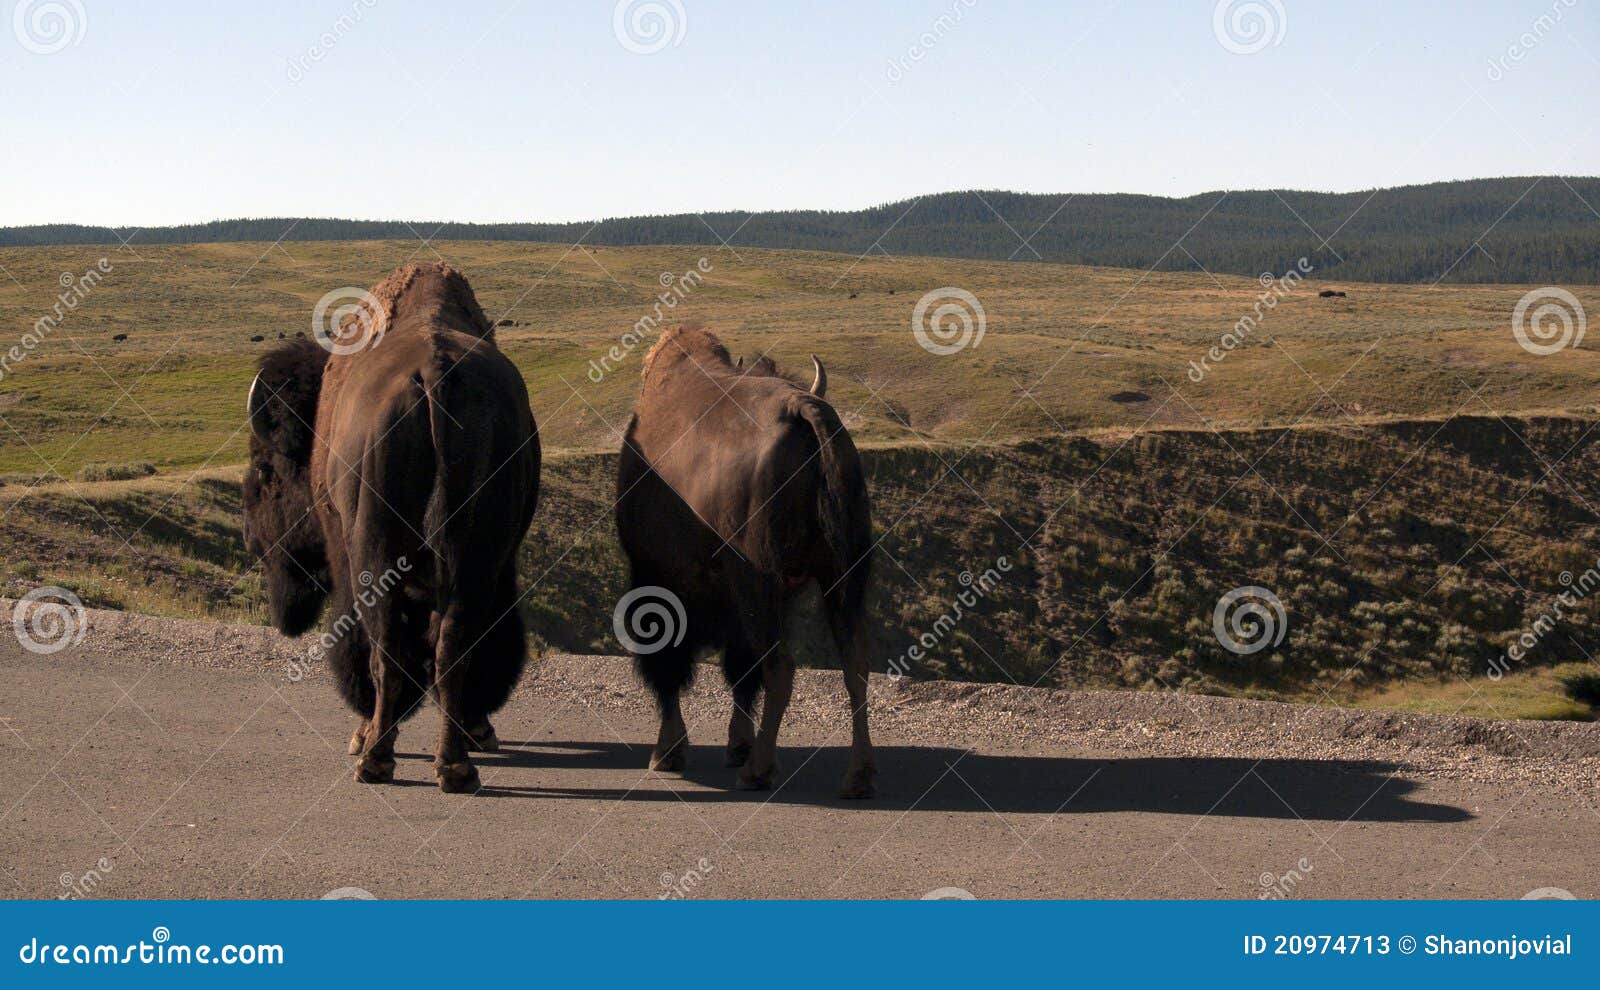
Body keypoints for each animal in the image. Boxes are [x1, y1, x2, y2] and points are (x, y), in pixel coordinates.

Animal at [243, 262, 540, 793]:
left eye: (264, 470)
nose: (249, 536)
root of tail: (436, 375)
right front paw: (479, 728)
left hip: (374, 556)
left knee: (385, 647)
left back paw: (375, 756)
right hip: (478, 560)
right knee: (454, 645)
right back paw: (456, 764)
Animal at [616, 327, 876, 798]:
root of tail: (803, 409)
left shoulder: (655, 576)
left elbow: (671, 666)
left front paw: (667, 752)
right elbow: (739, 668)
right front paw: (735, 744)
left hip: (760, 583)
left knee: (780, 667)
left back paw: (758, 770)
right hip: (842, 579)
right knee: (855, 663)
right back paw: (858, 776)